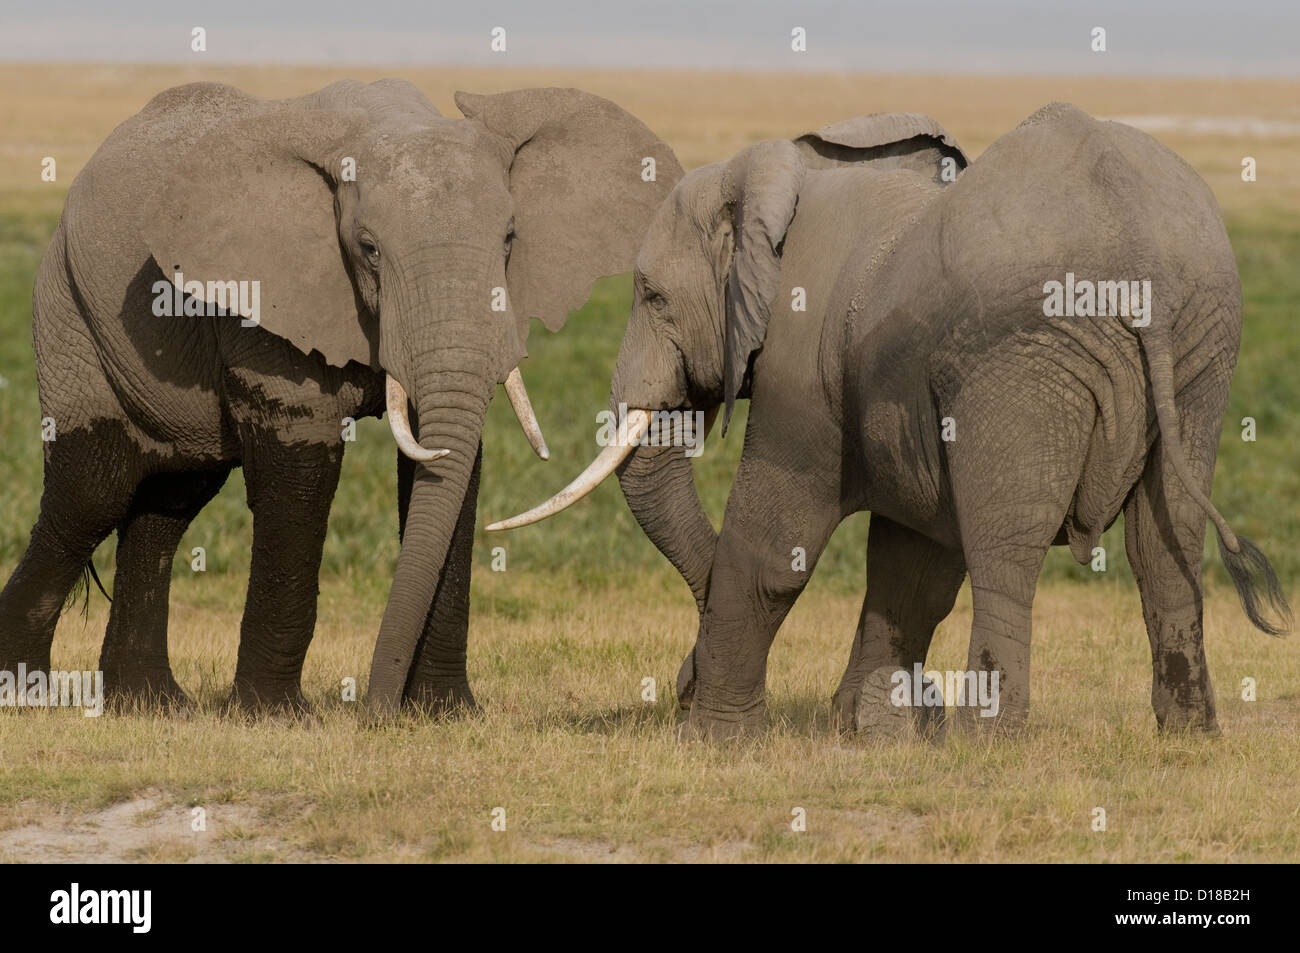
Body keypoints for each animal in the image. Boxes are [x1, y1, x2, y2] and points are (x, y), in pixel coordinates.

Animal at [0, 78, 682, 716]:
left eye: (511, 239)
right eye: (369, 250)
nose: (376, 711)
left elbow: (447, 464)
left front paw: (446, 713)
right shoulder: (266, 295)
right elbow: (302, 464)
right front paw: (274, 717)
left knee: (172, 498)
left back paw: (153, 703)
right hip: (67, 310)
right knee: (94, 487)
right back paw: (26, 696)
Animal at [493, 103, 1290, 739]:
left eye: (651, 296)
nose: (680, 686)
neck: (765, 179)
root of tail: (1140, 245)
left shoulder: (801, 350)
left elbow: (775, 545)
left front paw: (714, 740)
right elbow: (915, 560)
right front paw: (872, 731)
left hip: (1025, 355)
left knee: (1006, 542)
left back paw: (985, 742)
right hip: (1202, 347)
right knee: (1164, 535)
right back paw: (1188, 735)